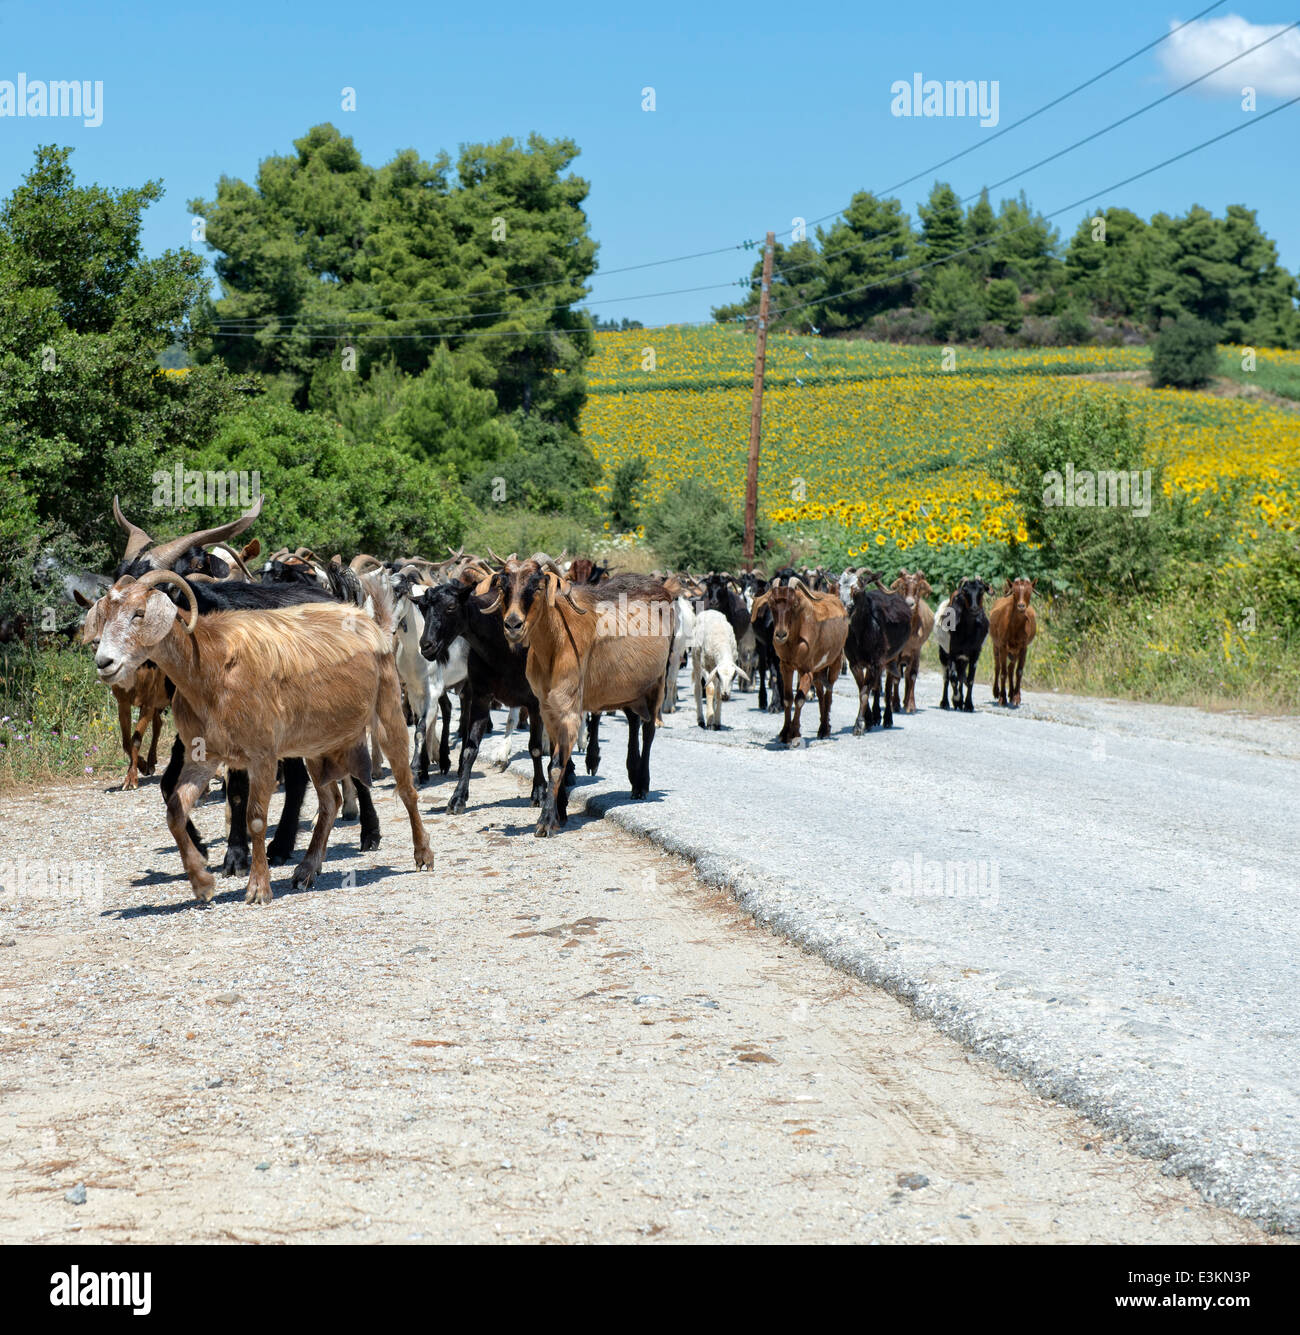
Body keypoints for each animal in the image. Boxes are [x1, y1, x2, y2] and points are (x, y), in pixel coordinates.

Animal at [90, 571, 433, 904]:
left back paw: (421, 854)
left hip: (387, 714)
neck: (211, 665)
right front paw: (202, 883)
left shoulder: (262, 755)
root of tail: (370, 622)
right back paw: (306, 869)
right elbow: (175, 810)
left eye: (139, 613)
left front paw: (257, 888)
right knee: (329, 801)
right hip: (316, 742)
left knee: (406, 789)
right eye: (104, 615)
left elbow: (255, 817)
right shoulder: (203, 756)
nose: (104, 662)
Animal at [989, 577, 1037, 707]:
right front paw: (1002, 698)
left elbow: (1018, 671)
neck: (1015, 627)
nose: (1021, 606)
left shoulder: (1023, 647)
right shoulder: (1003, 646)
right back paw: (996, 692)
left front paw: (1017, 697)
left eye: (1029, 592)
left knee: (1011, 669)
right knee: (997, 667)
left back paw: (1011, 693)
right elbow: (1003, 672)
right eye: (1014, 593)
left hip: (1014, 650)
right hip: (996, 646)